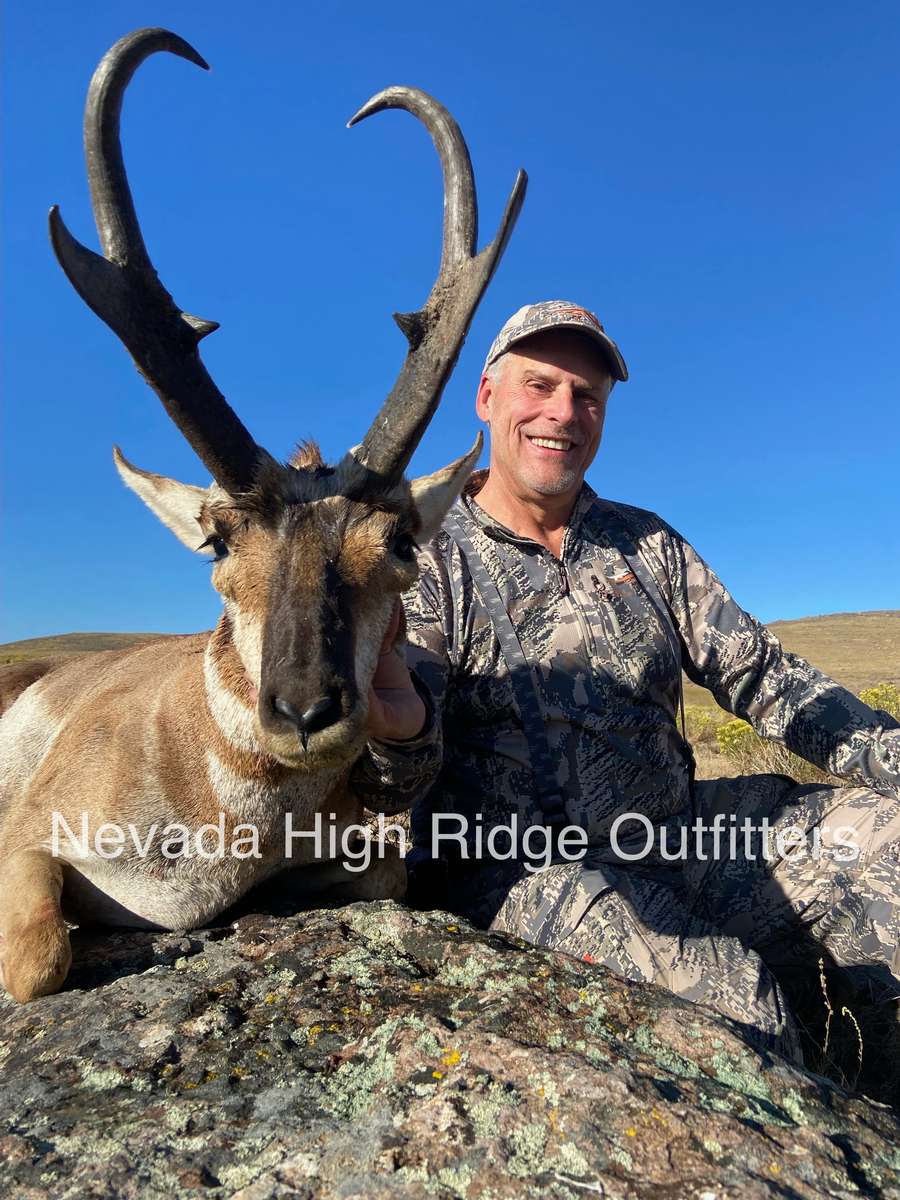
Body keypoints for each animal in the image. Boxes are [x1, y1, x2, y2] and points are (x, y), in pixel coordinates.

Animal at [0, 28, 525, 1003]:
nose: (308, 710)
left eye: (400, 542)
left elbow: (386, 874)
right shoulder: (25, 841)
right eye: (216, 539)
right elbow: (39, 957)